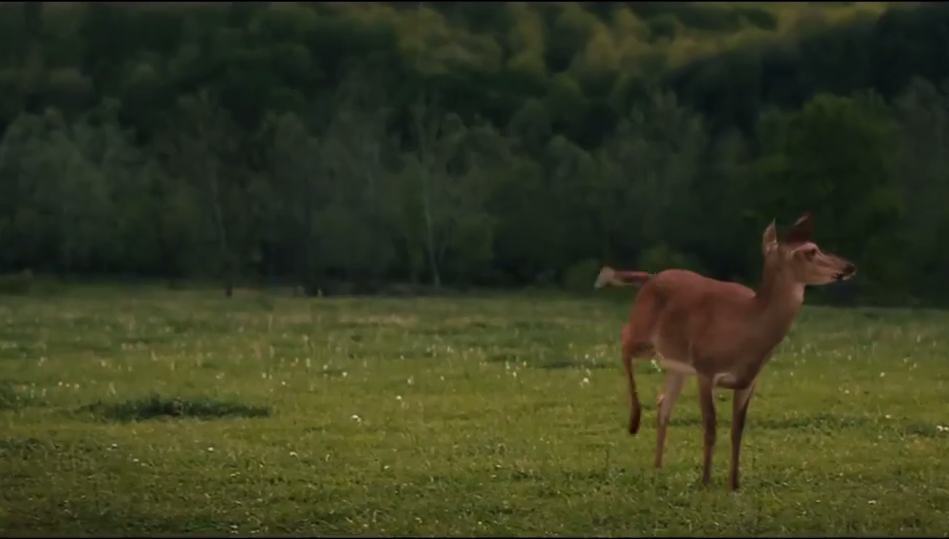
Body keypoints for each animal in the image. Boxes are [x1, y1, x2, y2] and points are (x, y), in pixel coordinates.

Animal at [593, 213, 856, 491]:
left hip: (677, 364)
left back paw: (657, 466)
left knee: (664, 403)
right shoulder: (705, 368)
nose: (849, 266)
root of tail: (650, 278)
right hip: (645, 335)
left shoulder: (748, 381)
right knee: (623, 341)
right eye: (810, 251)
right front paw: (706, 481)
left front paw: (734, 484)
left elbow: (737, 431)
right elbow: (710, 427)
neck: (744, 331)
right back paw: (634, 422)